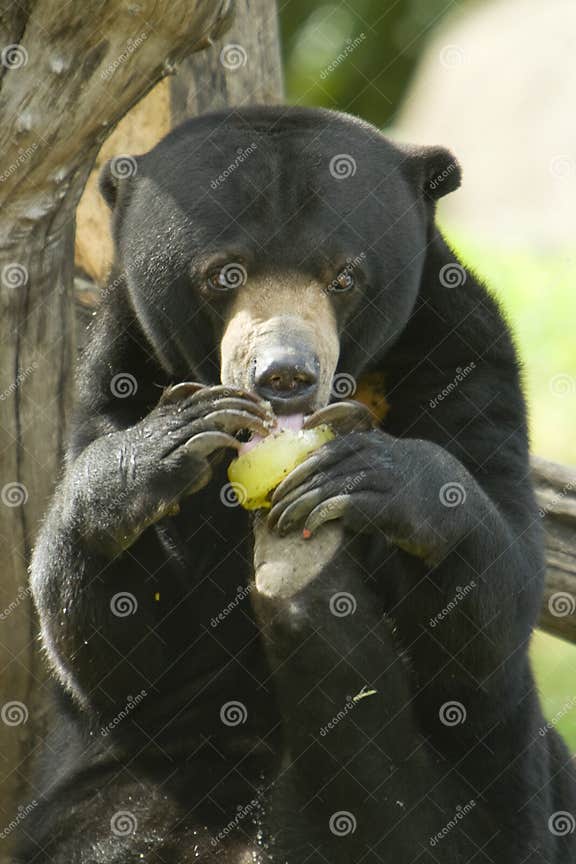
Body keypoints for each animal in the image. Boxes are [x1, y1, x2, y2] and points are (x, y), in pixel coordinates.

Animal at [16, 105, 576, 863]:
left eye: (343, 278)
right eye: (223, 274)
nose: (285, 375)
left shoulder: (467, 364)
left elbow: (491, 613)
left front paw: (366, 473)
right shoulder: (115, 376)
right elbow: (114, 657)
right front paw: (168, 442)